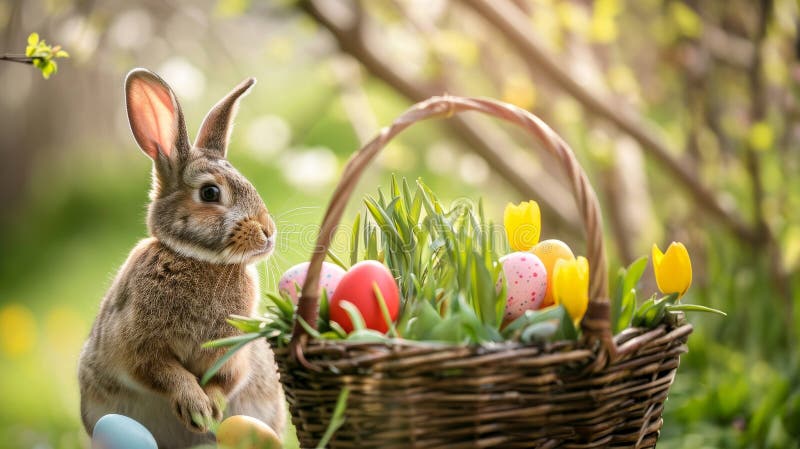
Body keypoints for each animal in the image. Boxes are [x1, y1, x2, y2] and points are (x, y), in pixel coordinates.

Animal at [78, 68, 285, 448]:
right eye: (210, 193)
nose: (268, 232)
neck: (200, 260)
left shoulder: (233, 355)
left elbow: (224, 379)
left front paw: (211, 409)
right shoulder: (140, 348)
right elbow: (166, 374)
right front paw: (196, 408)